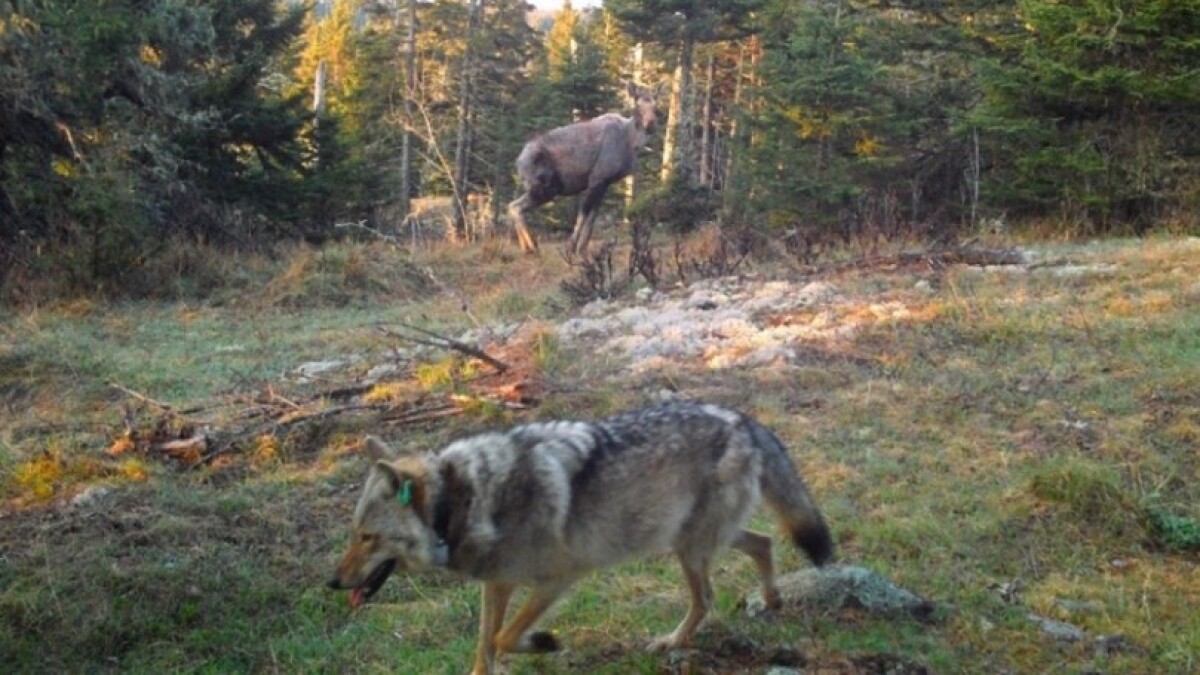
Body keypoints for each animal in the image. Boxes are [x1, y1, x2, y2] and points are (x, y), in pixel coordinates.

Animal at [327, 401, 833, 675]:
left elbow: (505, 638)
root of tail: (743, 419)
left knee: (707, 597)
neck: (463, 499)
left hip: (688, 548)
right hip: (693, 540)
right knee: (764, 542)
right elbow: (485, 645)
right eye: (355, 535)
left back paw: (671, 642)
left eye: (369, 538)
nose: (332, 583)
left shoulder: (559, 579)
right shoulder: (497, 584)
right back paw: (772, 601)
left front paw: (544, 643)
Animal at [507, 82, 660, 258]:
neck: (631, 143)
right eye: (637, 103)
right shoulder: (596, 178)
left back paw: (528, 247)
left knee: (513, 206)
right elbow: (582, 216)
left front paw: (583, 249)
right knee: (515, 206)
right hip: (546, 187)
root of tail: (519, 160)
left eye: (655, 104)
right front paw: (571, 248)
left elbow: (592, 218)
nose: (651, 124)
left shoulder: (605, 183)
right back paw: (531, 247)